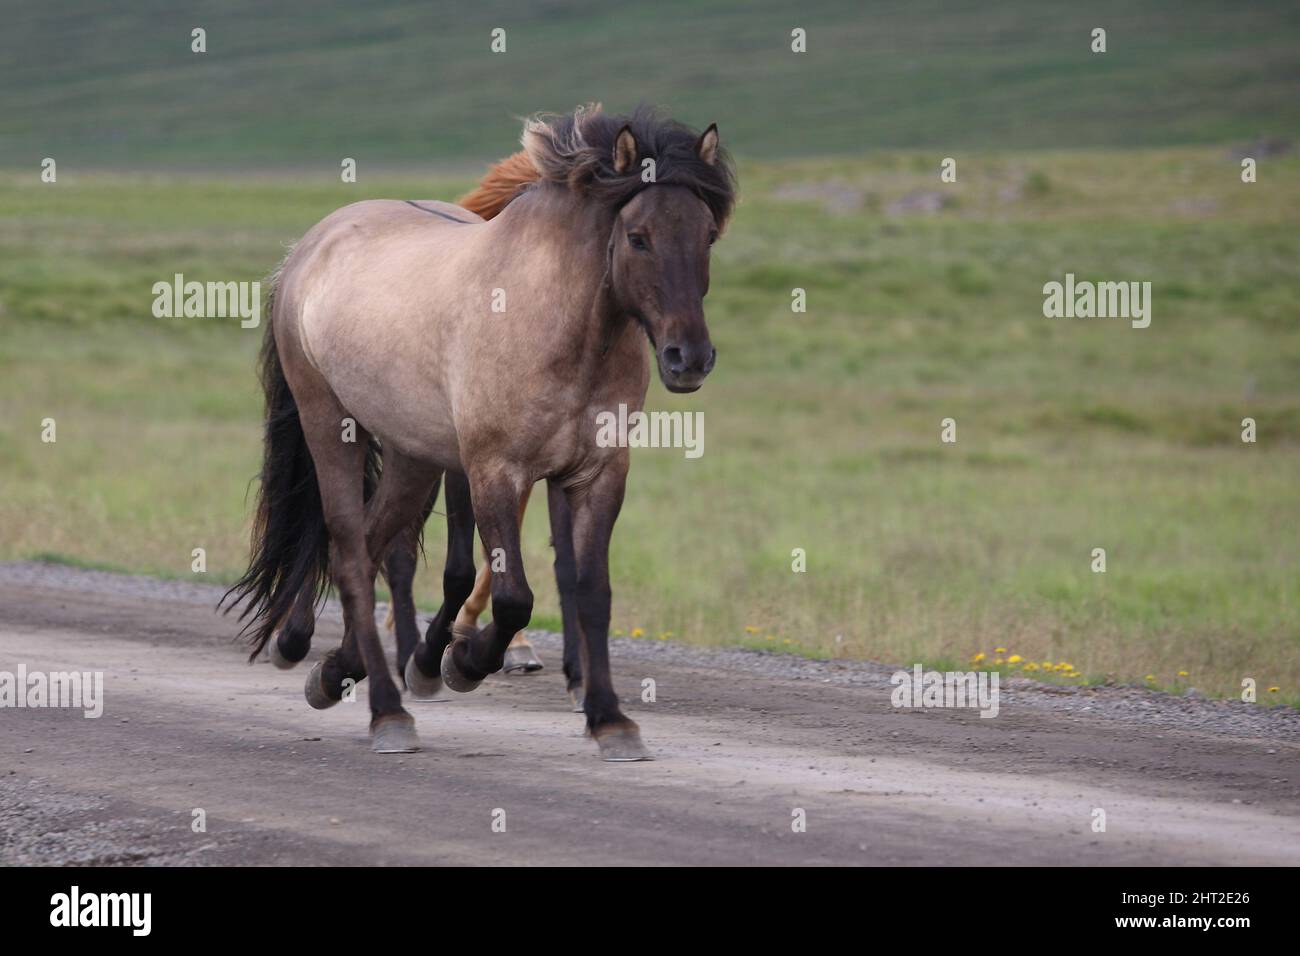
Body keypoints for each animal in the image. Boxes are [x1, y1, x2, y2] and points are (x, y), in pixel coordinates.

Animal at [223, 104, 736, 759]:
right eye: (638, 237)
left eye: (707, 235)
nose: (688, 359)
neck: (561, 326)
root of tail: (307, 251)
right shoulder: (495, 471)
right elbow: (513, 595)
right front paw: (461, 662)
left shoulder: (595, 474)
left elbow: (590, 592)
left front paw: (609, 718)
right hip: (331, 426)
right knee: (351, 554)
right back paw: (388, 711)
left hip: (412, 457)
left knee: (370, 547)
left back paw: (336, 672)